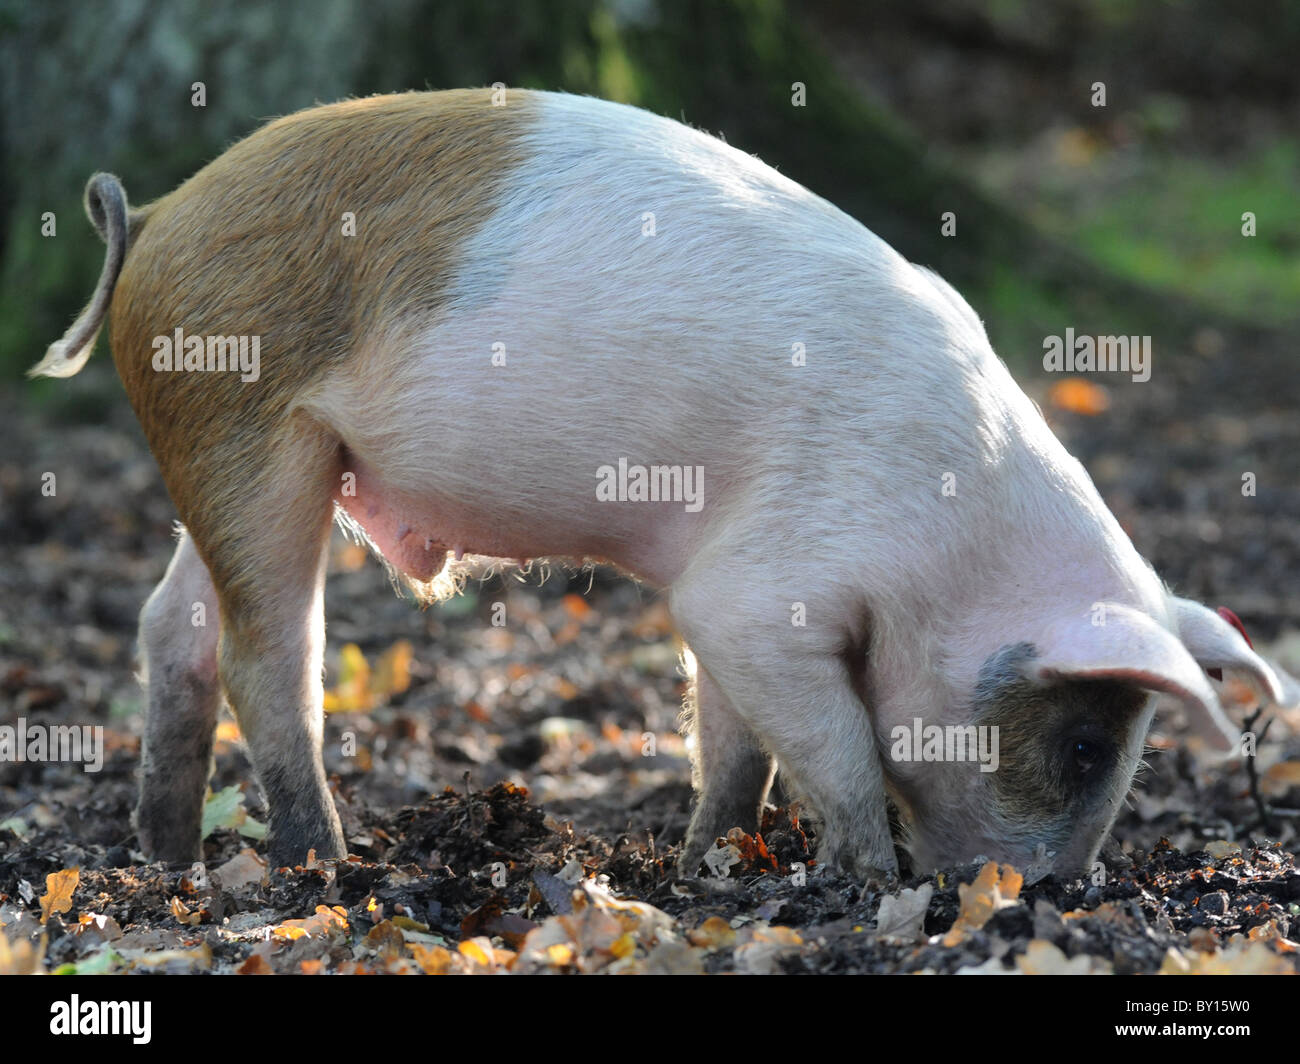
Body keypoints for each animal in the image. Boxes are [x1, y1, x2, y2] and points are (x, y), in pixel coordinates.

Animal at [34, 88, 1285, 882]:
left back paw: (167, 855)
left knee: (174, 625)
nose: (1060, 894)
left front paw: (710, 866)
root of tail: (155, 219)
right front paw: (856, 882)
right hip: (244, 426)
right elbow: (833, 741)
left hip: (233, 454)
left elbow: (734, 742)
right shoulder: (758, 591)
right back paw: (327, 862)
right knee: (269, 653)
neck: (951, 548)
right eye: (1081, 747)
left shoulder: (725, 589)